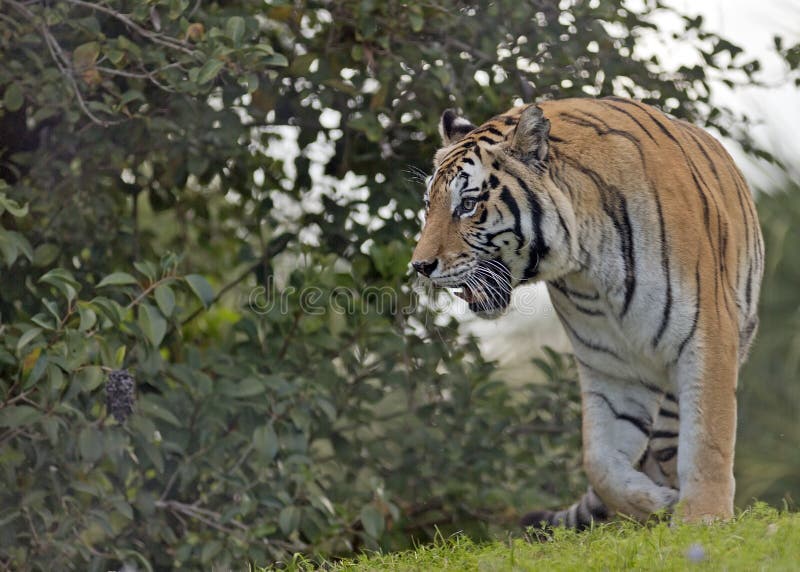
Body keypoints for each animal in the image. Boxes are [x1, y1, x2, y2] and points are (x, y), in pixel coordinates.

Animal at [411, 96, 764, 526]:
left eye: (467, 204)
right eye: (429, 206)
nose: (419, 265)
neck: (589, 263)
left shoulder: (707, 337)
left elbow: (708, 439)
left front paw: (703, 519)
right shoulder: (612, 366)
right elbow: (598, 461)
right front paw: (654, 504)